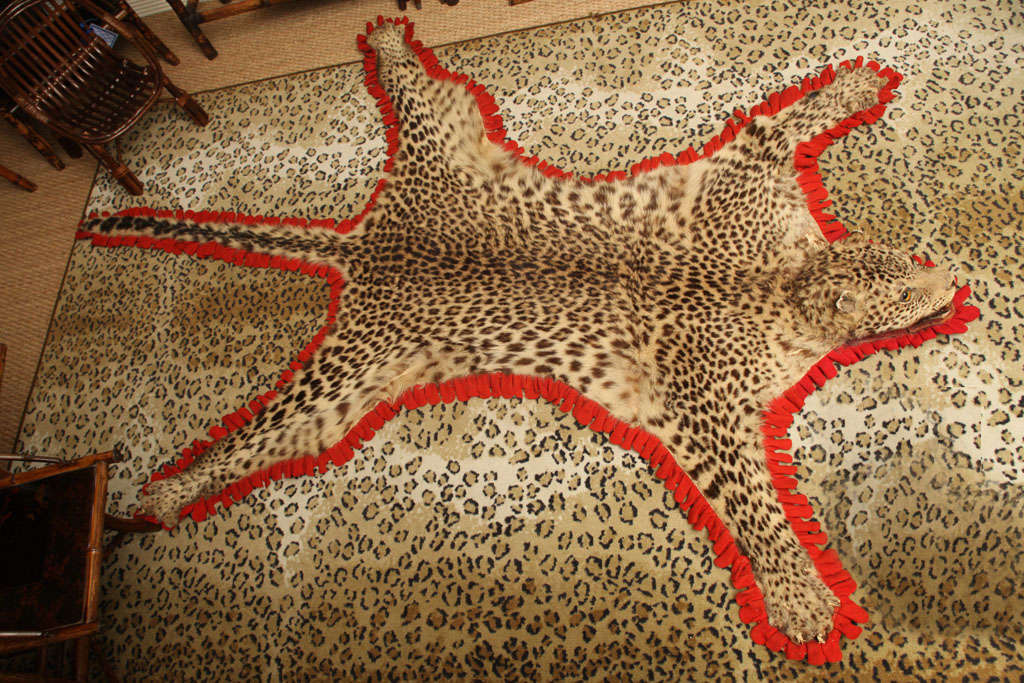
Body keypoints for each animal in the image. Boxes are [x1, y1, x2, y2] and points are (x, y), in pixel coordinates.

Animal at [79, 21, 958, 646]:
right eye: (899, 291)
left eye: (901, 265)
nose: (954, 282)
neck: (781, 280)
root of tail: (368, 240)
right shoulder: (706, 414)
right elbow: (755, 509)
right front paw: (801, 597)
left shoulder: (755, 166)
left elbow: (796, 113)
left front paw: (854, 81)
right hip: (340, 386)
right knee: (248, 441)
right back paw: (171, 488)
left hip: (449, 143)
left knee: (415, 91)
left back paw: (389, 44)